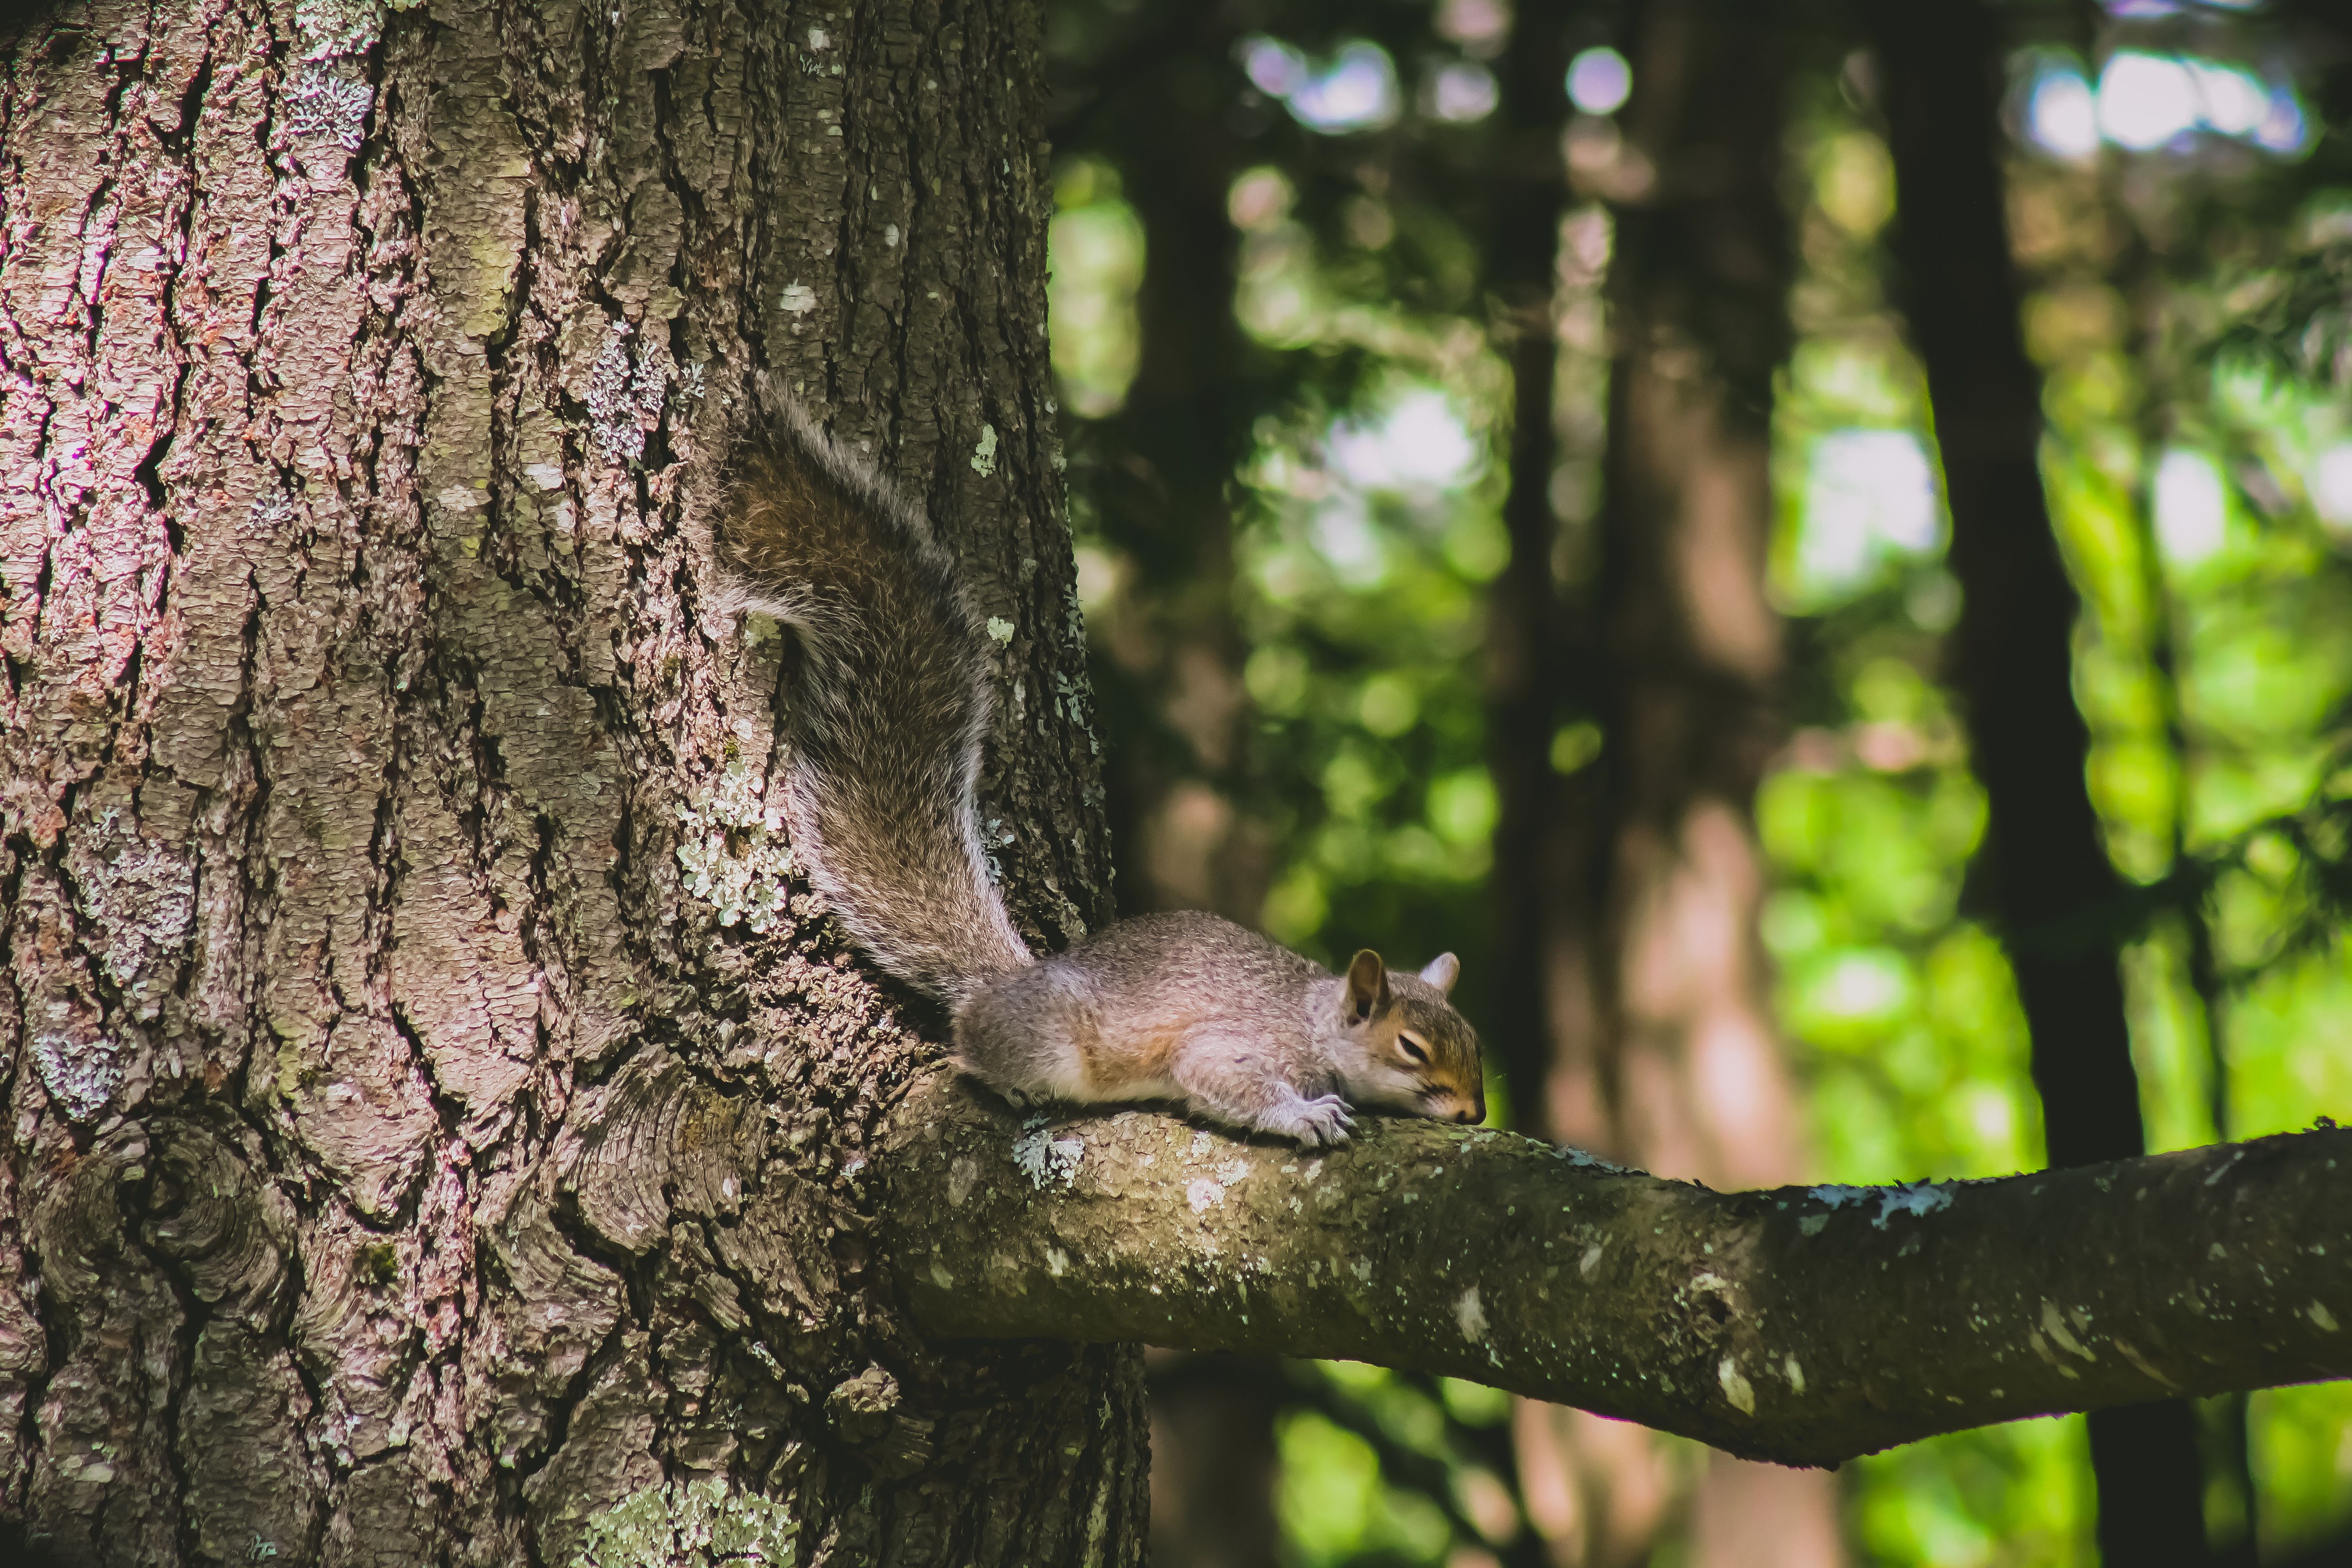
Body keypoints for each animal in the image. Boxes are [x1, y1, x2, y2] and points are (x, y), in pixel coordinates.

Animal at [709, 403, 1485, 1147]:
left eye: (1474, 1041)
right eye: (1412, 1047)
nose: (1476, 1112)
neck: (1316, 1023)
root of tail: (999, 986)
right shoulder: (1235, 1045)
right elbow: (1224, 1079)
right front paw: (1304, 1115)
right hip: (1048, 1045)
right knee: (966, 1053)